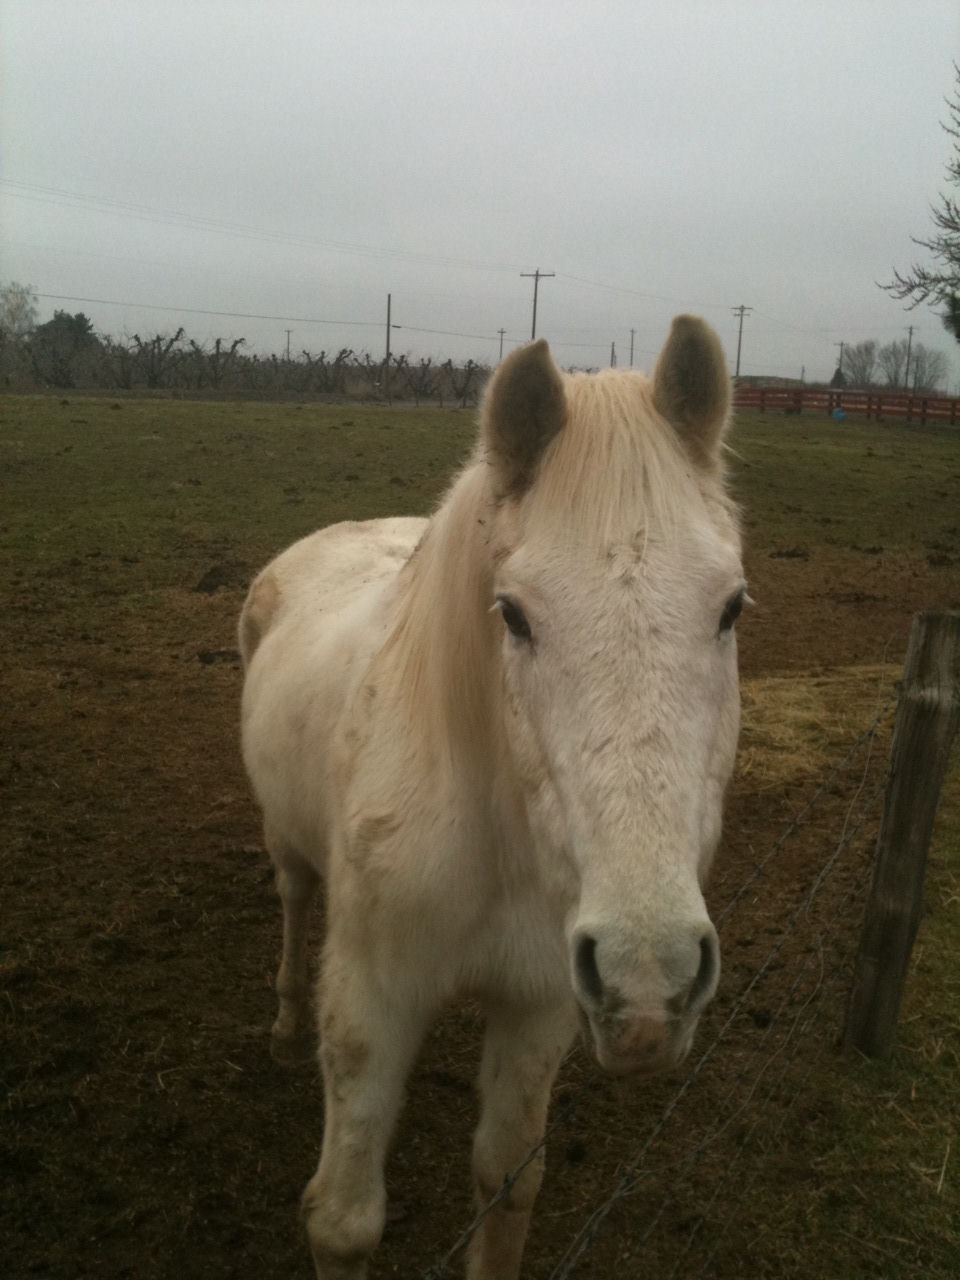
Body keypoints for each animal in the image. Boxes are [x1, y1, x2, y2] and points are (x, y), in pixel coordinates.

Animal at [239, 315, 744, 1280]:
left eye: (732, 607)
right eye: (512, 613)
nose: (652, 977)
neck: (494, 835)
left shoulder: (542, 1003)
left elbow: (507, 1187)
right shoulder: (371, 999)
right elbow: (344, 1219)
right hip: (286, 844)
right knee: (291, 901)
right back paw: (279, 1025)